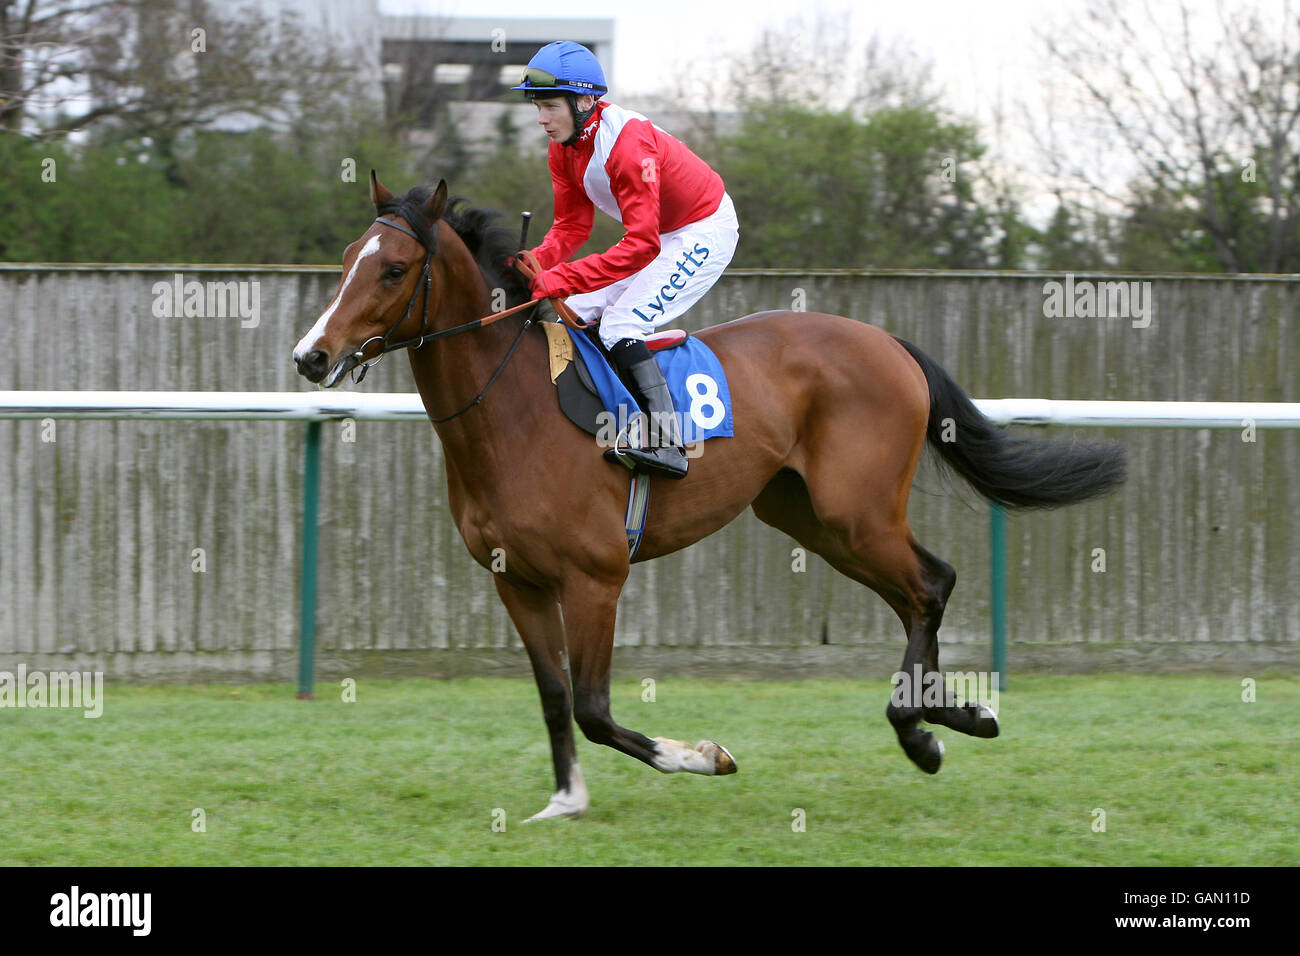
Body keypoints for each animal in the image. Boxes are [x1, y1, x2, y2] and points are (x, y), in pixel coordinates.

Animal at [292, 174, 1127, 821]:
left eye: (396, 268)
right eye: (349, 259)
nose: (312, 356)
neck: (516, 411)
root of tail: (887, 342)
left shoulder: (595, 578)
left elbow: (595, 708)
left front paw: (704, 756)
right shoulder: (515, 581)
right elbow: (555, 696)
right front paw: (565, 800)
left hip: (855, 514)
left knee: (930, 584)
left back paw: (919, 731)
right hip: (812, 519)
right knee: (921, 589)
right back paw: (956, 716)